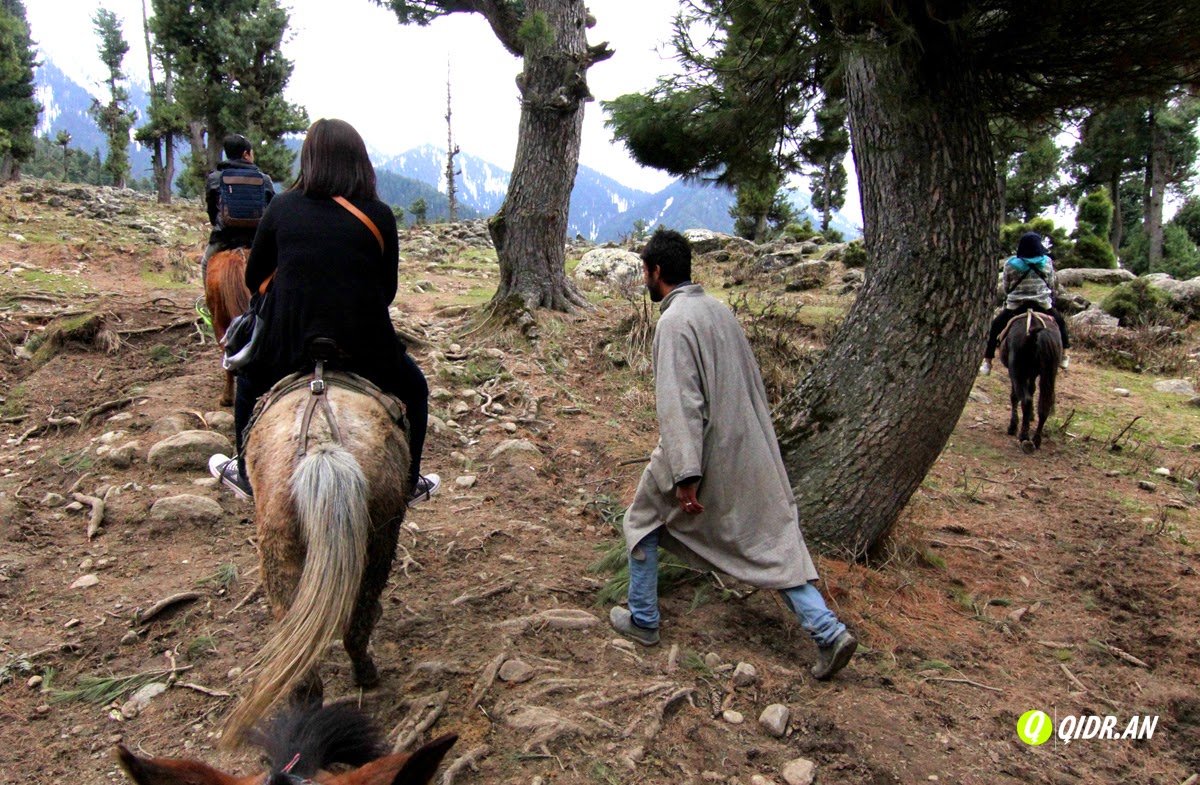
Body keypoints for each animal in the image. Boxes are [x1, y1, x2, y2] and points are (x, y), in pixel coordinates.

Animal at [999, 310, 1062, 453]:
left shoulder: (1016, 373)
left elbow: (1015, 396)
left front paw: (1013, 426)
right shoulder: (1033, 374)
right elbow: (1032, 389)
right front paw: (1030, 416)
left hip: (1016, 371)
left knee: (1025, 400)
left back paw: (1024, 436)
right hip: (1049, 373)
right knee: (1044, 406)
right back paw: (1036, 439)